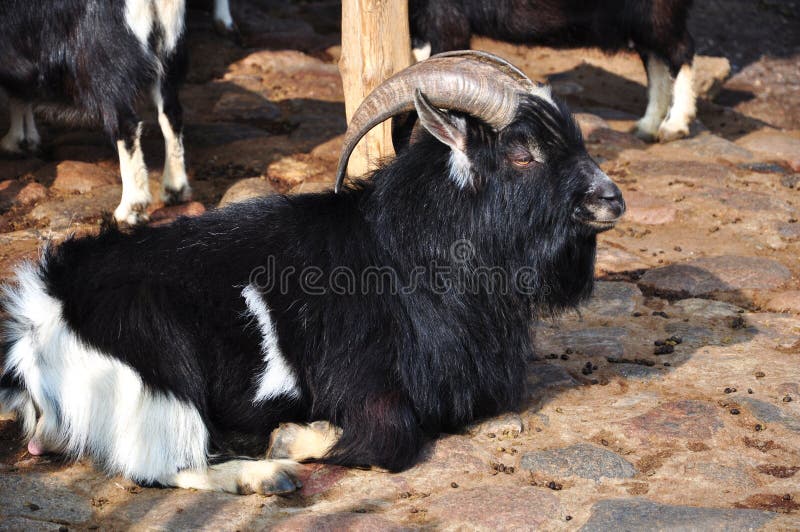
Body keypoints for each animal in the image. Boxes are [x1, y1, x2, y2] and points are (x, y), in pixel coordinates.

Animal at [0, 0, 191, 225]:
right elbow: (20, 92)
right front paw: (19, 141)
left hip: (106, 63)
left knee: (126, 125)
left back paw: (130, 208)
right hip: (168, 55)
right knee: (171, 114)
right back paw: (175, 190)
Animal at [0, 51, 624, 494]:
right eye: (523, 153)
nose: (612, 200)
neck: (406, 253)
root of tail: (42, 313)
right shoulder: (362, 382)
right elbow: (390, 438)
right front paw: (292, 438)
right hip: (156, 367)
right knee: (159, 464)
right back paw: (263, 474)